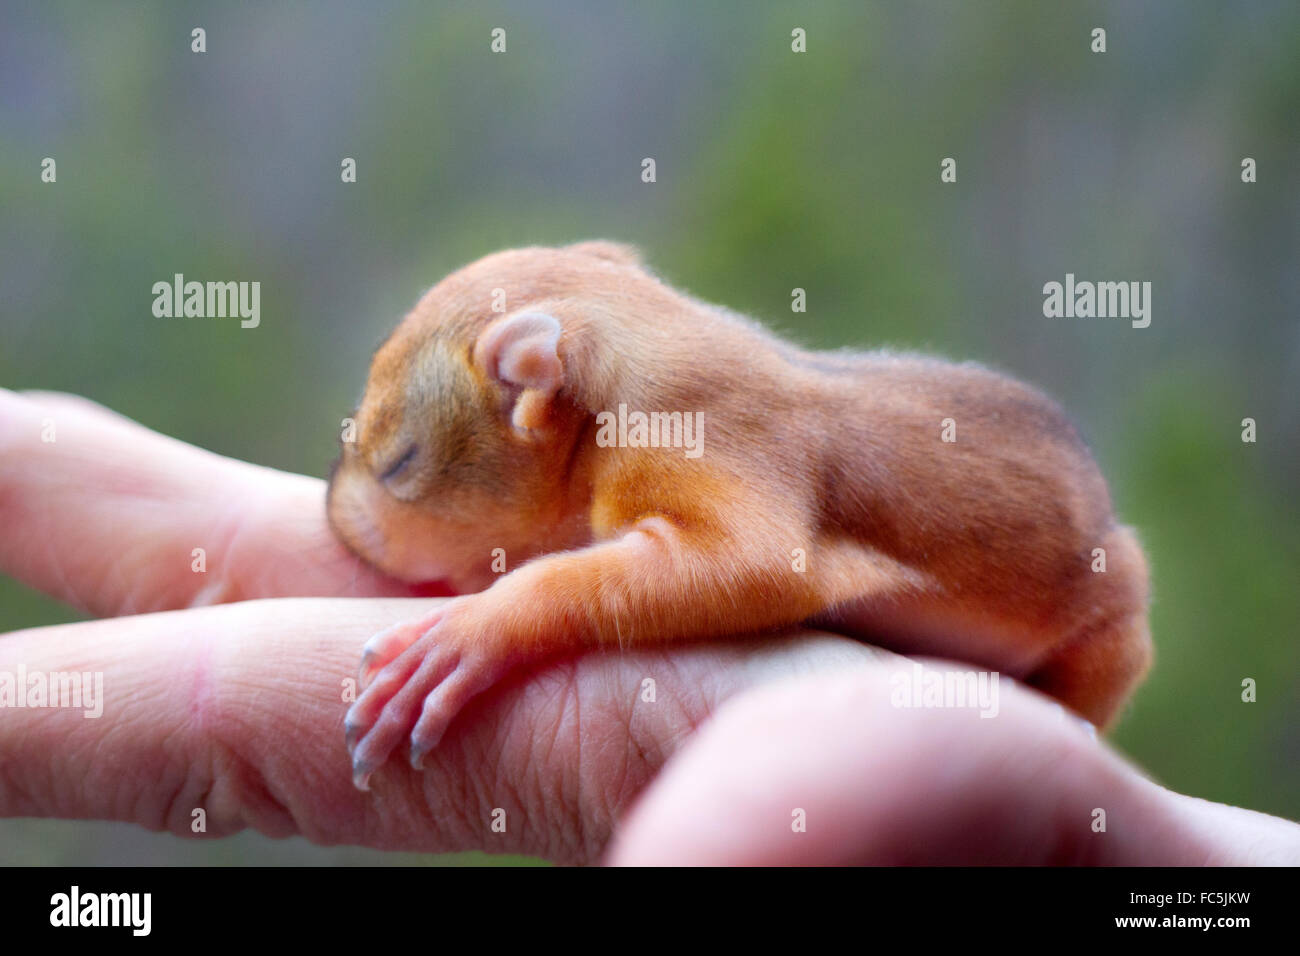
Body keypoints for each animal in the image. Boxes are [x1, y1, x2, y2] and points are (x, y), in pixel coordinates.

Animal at [329, 241, 1152, 790]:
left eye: (398, 464)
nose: (337, 519)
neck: (641, 335)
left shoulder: (701, 436)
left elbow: (755, 564)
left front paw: (470, 632)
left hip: (1114, 621)